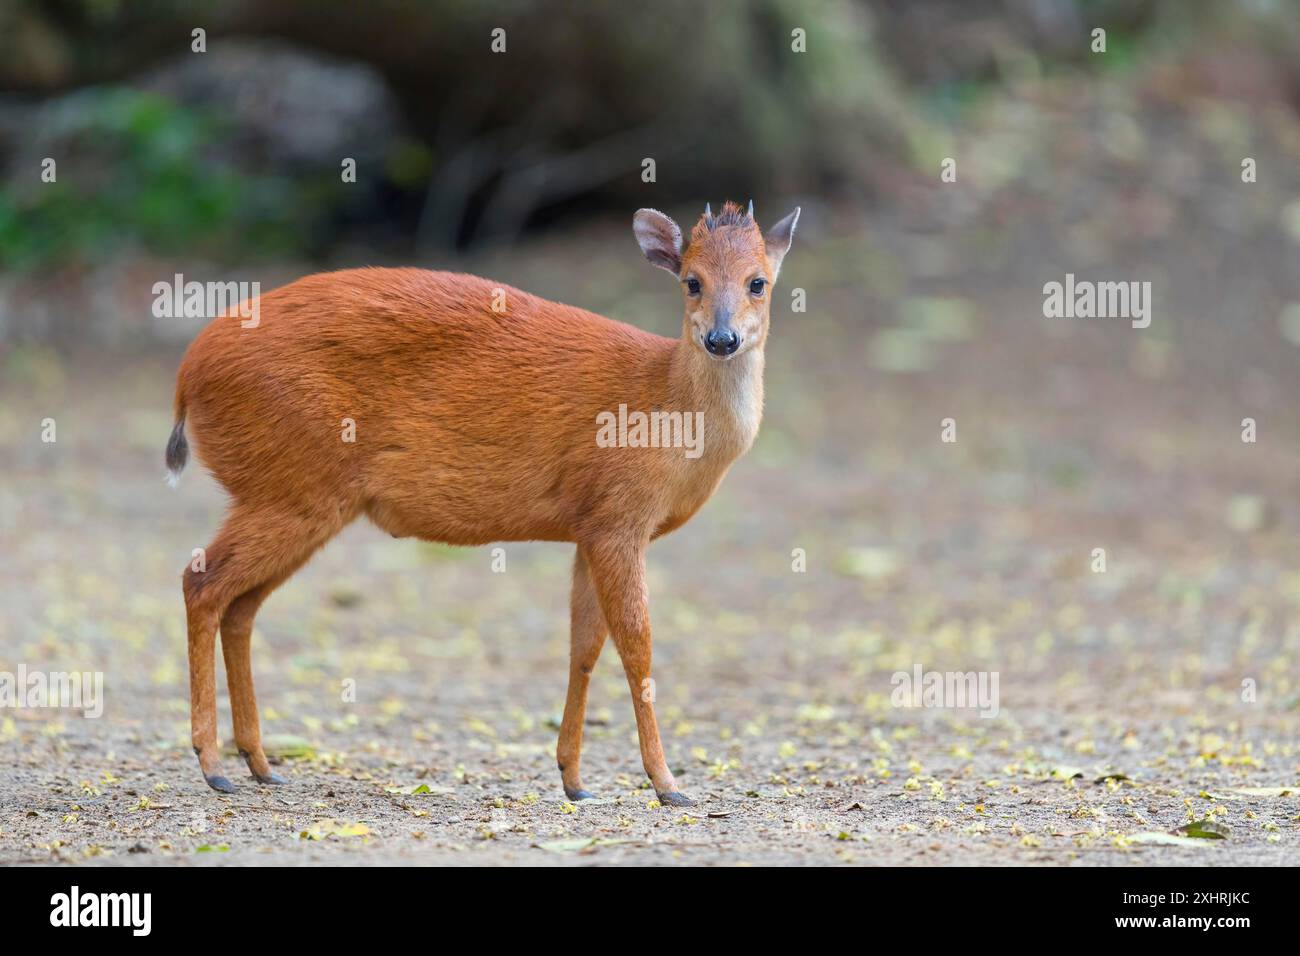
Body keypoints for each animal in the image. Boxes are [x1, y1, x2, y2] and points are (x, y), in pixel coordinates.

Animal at [167, 200, 799, 803]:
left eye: (758, 282)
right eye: (692, 281)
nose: (722, 339)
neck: (665, 405)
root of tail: (186, 373)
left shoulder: (587, 528)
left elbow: (584, 647)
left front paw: (574, 779)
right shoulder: (619, 518)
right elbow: (637, 645)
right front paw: (667, 784)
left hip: (295, 498)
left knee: (240, 607)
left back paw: (260, 764)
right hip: (292, 488)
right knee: (201, 582)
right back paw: (213, 766)